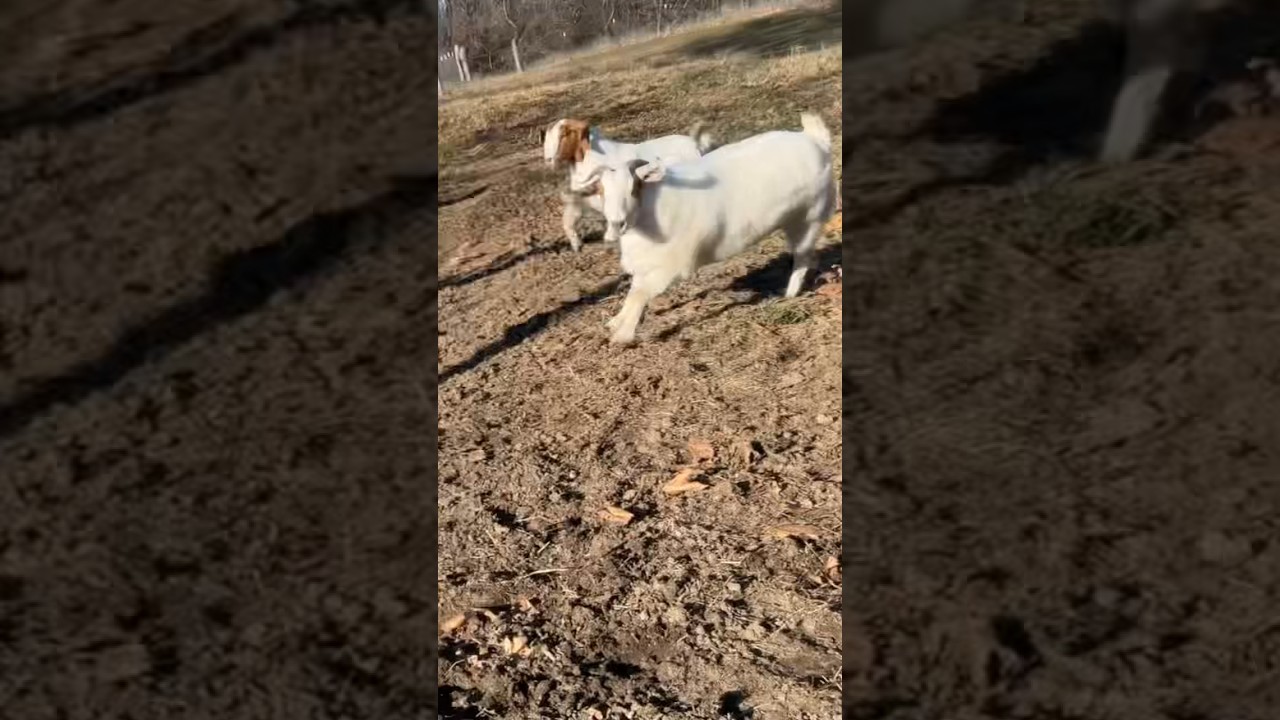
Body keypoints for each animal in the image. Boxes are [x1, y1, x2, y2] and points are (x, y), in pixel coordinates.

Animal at [539, 118, 715, 251]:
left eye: (564, 134)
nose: (549, 160)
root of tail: (696, 144)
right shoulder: (584, 197)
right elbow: (569, 219)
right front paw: (577, 245)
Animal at [570, 113, 837, 346]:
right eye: (601, 190)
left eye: (635, 186)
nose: (618, 223)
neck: (651, 210)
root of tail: (815, 139)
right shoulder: (647, 263)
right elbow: (633, 292)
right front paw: (616, 323)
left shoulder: (673, 265)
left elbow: (639, 294)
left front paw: (622, 335)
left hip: (808, 217)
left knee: (802, 257)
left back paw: (789, 293)